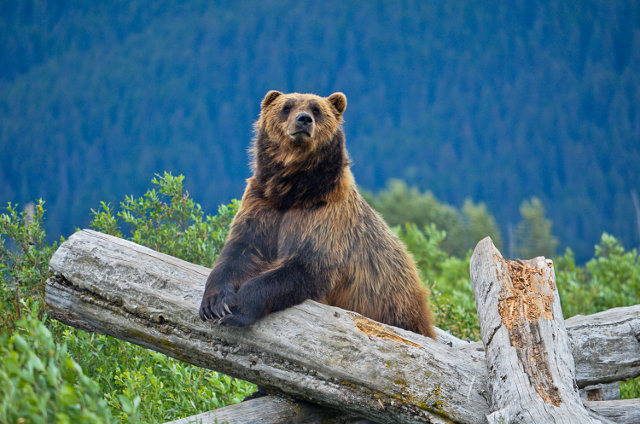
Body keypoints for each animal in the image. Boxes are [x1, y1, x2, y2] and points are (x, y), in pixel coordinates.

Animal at [199, 90, 436, 339]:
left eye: (317, 109)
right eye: (286, 106)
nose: (303, 120)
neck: (293, 192)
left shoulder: (322, 216)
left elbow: (305, 266)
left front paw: (237, 309)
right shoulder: (262, 204)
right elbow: (240, 251)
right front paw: (215, 304)